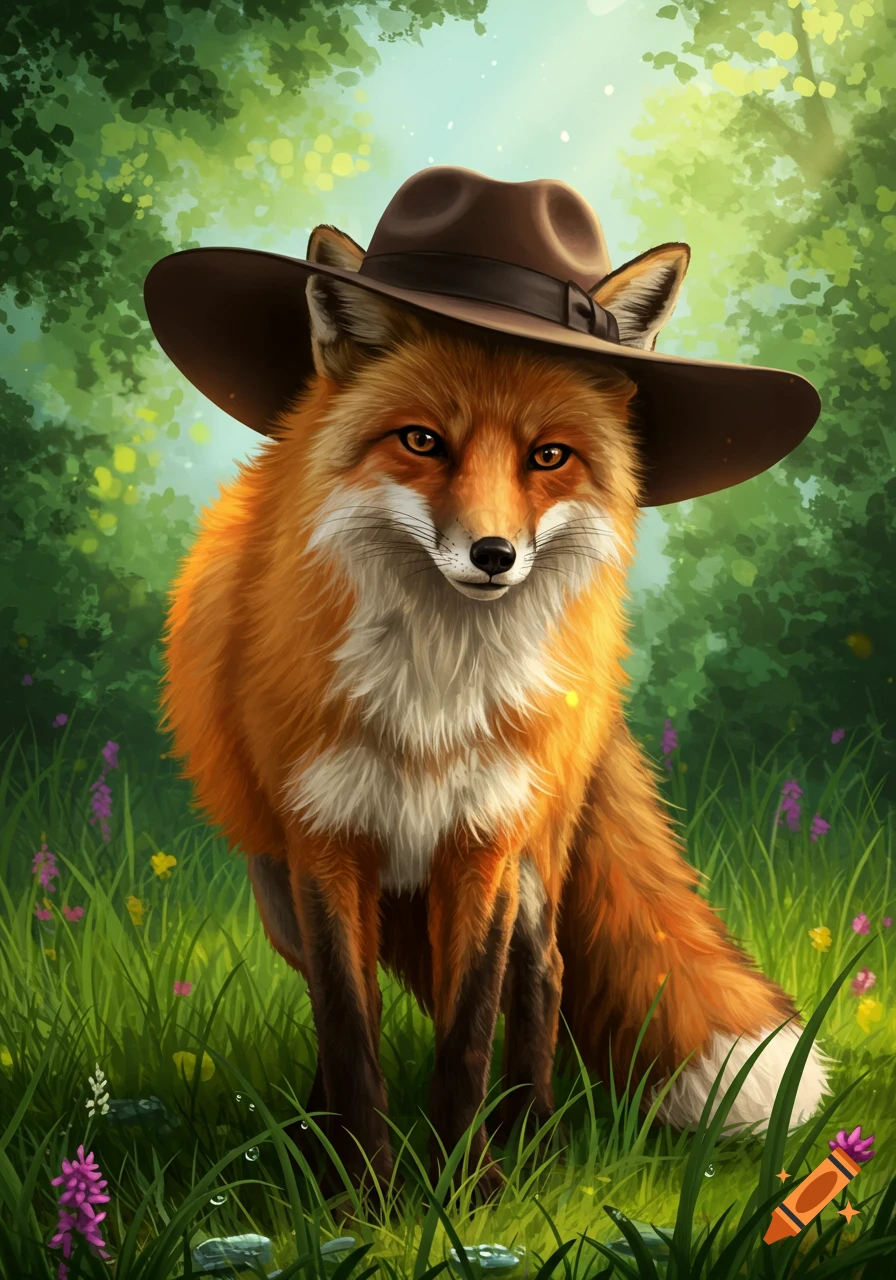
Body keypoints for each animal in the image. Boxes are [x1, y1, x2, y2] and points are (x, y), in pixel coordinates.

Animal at [159, 222, 830, 1200]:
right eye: (422, 441)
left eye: (547, 456)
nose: (493, 554)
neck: (434, 693)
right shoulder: (325, 845)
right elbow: (349, 1027)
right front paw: (362, 1195)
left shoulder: (481, 841)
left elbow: (469, 1030)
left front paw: (464, 1192)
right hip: (277, 885)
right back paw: (316, 1140)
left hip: (537, 854)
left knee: (545, 974)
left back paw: (535, 1141)